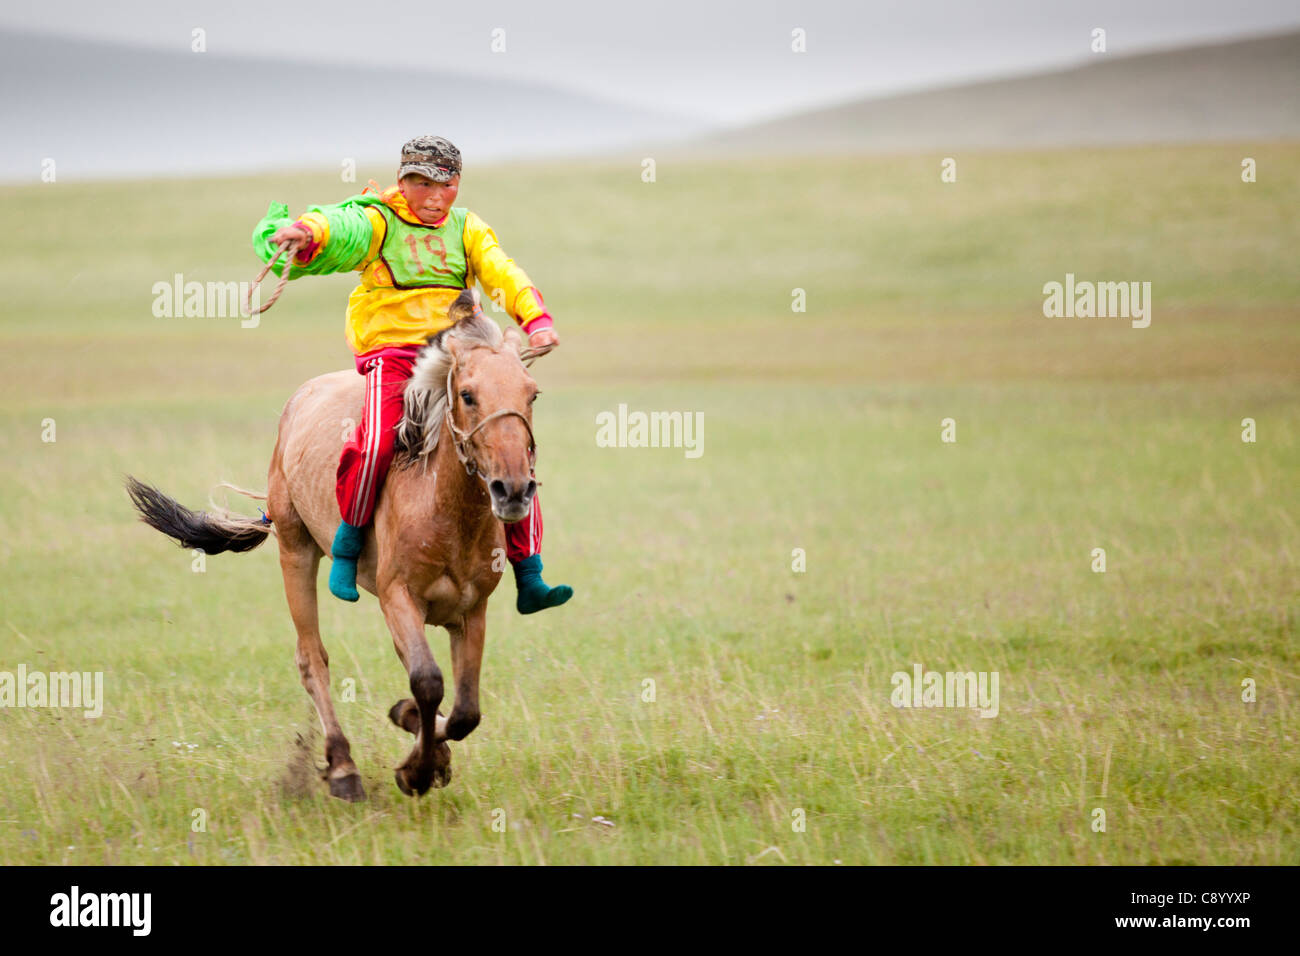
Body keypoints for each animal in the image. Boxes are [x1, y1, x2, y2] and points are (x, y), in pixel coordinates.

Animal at [125, 289, 541, 801]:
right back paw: (342, 767)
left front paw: (423, 745)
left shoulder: (470, 610)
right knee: (312, 659)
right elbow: (426, 683)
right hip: (295, 550)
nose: (514, 490)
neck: (445, 508)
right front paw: (417, 768)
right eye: (467, 395)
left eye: (531, 394)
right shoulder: (399, 598)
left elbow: (464, 711)